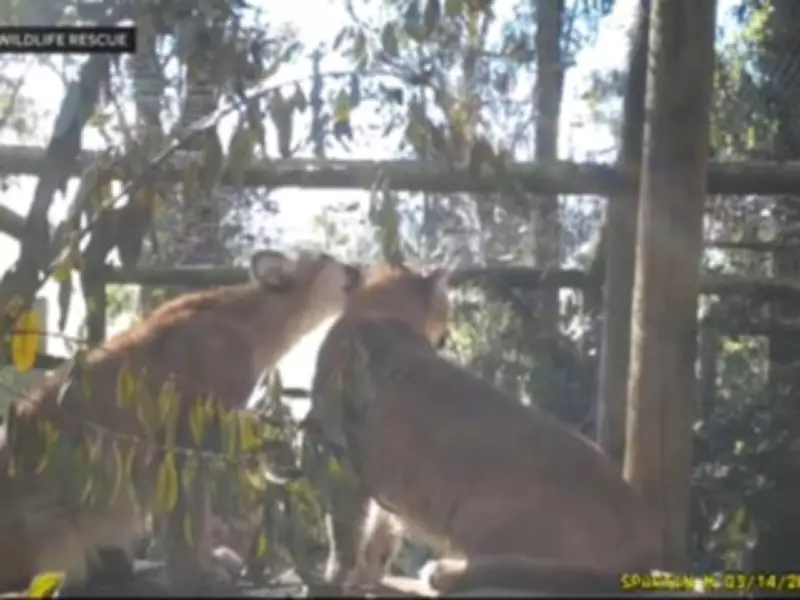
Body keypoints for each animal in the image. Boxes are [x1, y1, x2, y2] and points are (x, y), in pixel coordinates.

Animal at [0, 249, 362, 594]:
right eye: (327, 258)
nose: (358, 268)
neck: (257, 322)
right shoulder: (187, 441)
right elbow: (191, 514)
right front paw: (197, 573)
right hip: (57, 526)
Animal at [309, 262, 660, 594]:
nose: (446, 336)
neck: (381, 312)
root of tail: (646, 538)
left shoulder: (339, 453)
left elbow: (346, 528)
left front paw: (336, 578)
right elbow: (378, 530)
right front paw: (366, 576)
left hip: (475, 514)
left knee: (525, 570)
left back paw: (444, 573)